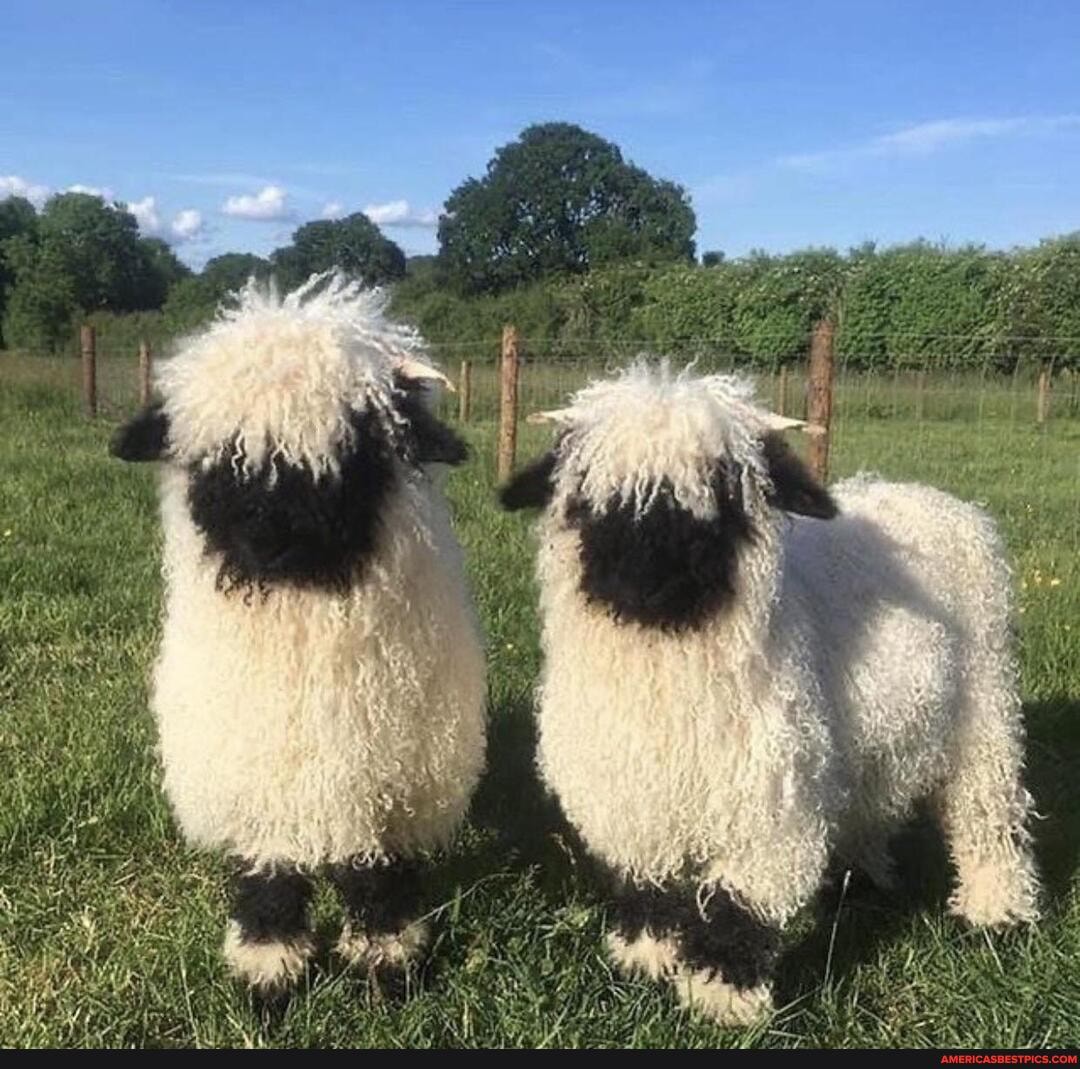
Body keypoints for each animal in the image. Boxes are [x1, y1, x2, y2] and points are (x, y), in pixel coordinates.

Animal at [110, 275, 487, 1001]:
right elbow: (270, 868)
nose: (269, 540)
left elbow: (373, 868)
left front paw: (386, 955)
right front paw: (268, 962)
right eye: (220, 459)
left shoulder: (380, 773)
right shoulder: (259, 767)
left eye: (353, 451)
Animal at [499, 361, 1040, 1026]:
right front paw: (645, 959)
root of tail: (934, 499)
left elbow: (740, 905)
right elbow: (646, 885)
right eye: (588, 495)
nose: (645, 580)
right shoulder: (634, 795)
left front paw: (721, 997)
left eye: (722, 491)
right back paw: (857, 883)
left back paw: (997, 915)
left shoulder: (769, 802)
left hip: (985, 711)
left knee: (990, 815)